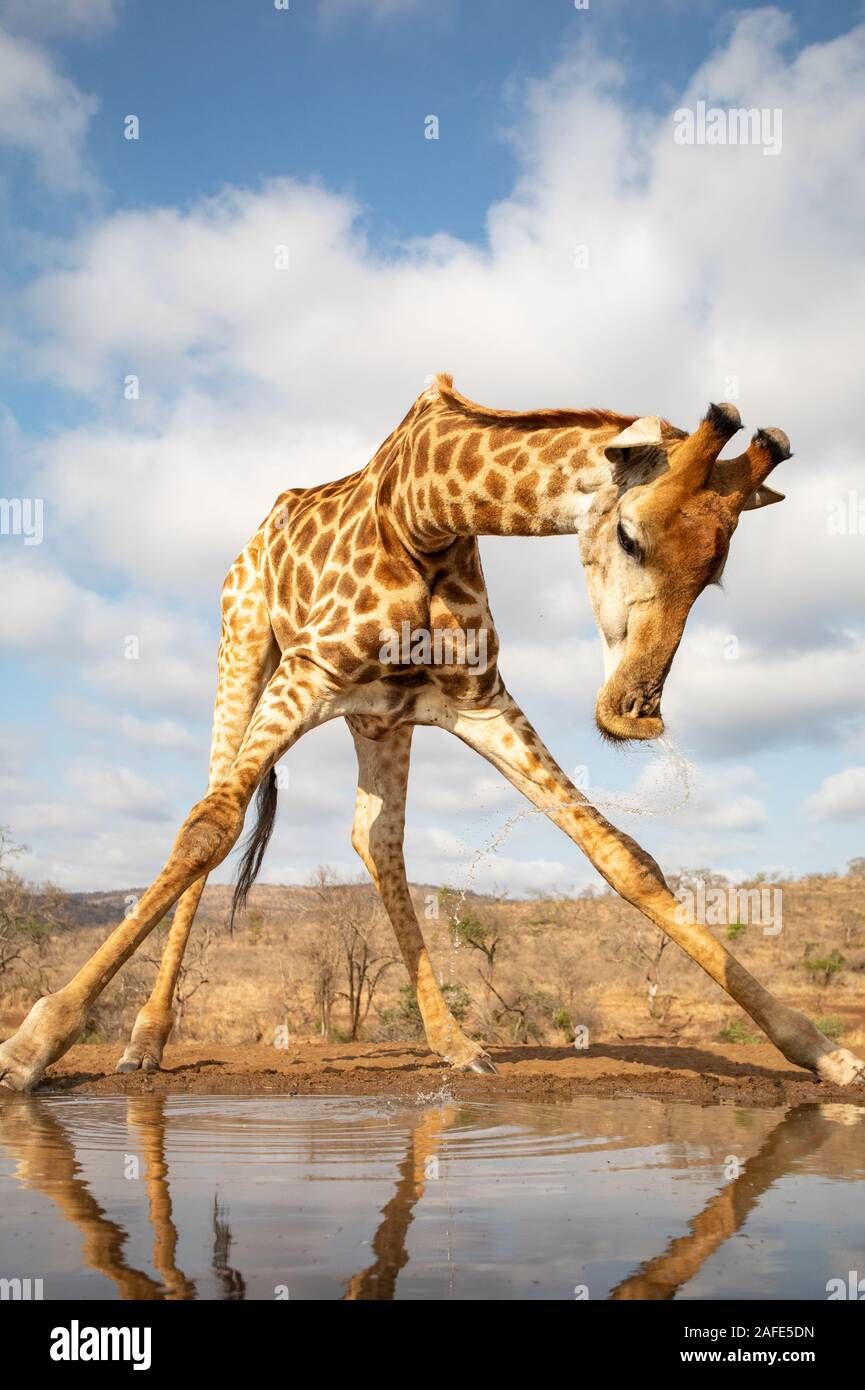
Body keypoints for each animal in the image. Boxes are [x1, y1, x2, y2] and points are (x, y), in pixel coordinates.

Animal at [1, 373, 863, 1093]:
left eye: (713, 574)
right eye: (629, 535)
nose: (634, 710)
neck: (428, 514)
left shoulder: (479, 702)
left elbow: (620, 855)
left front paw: (819, 1051)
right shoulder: (308, 669)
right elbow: (207, 828)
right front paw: (33, 1045)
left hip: (378, 720)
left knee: (375, 840)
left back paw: (453, 1042)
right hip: (244, 648)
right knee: (219, 806)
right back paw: (145, 1043)